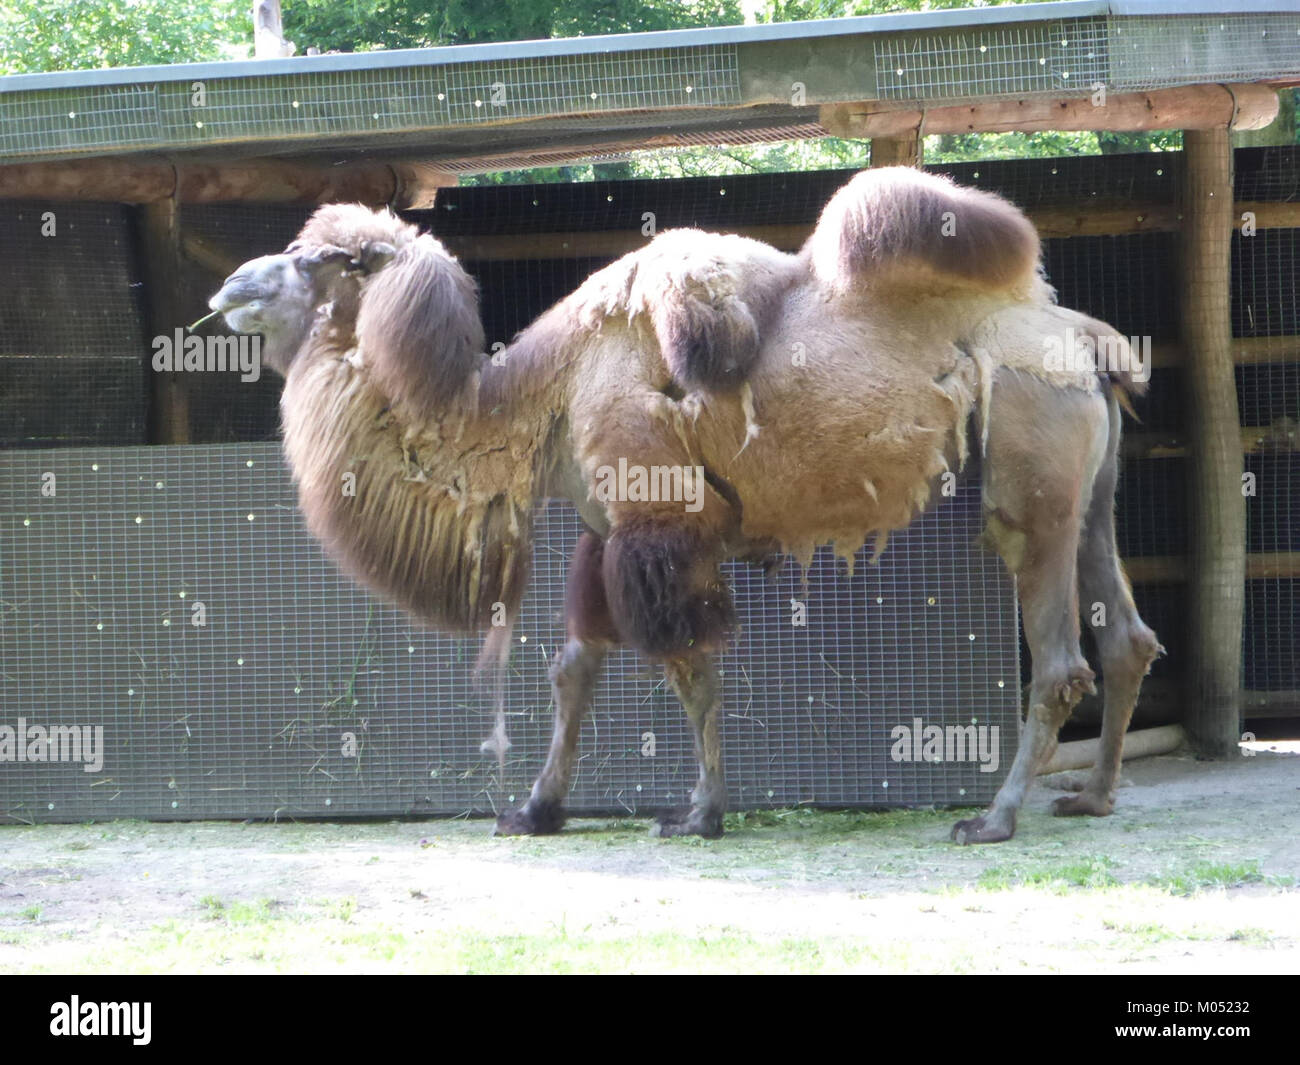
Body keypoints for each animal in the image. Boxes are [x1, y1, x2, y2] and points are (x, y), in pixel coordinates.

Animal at [207, 166, 1162, 843]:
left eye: (316, 261)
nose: (227, 288)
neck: (539, 398)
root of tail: (1084, 339)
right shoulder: (601, 530)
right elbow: (575, 668)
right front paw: (534, 809)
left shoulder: (662, 524)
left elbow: (690, 668)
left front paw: (700, 812)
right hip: (1093, 488)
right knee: (1126, 636)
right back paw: (1093, 796)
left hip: (1029, 476)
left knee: (1057, 654)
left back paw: (993, 817)